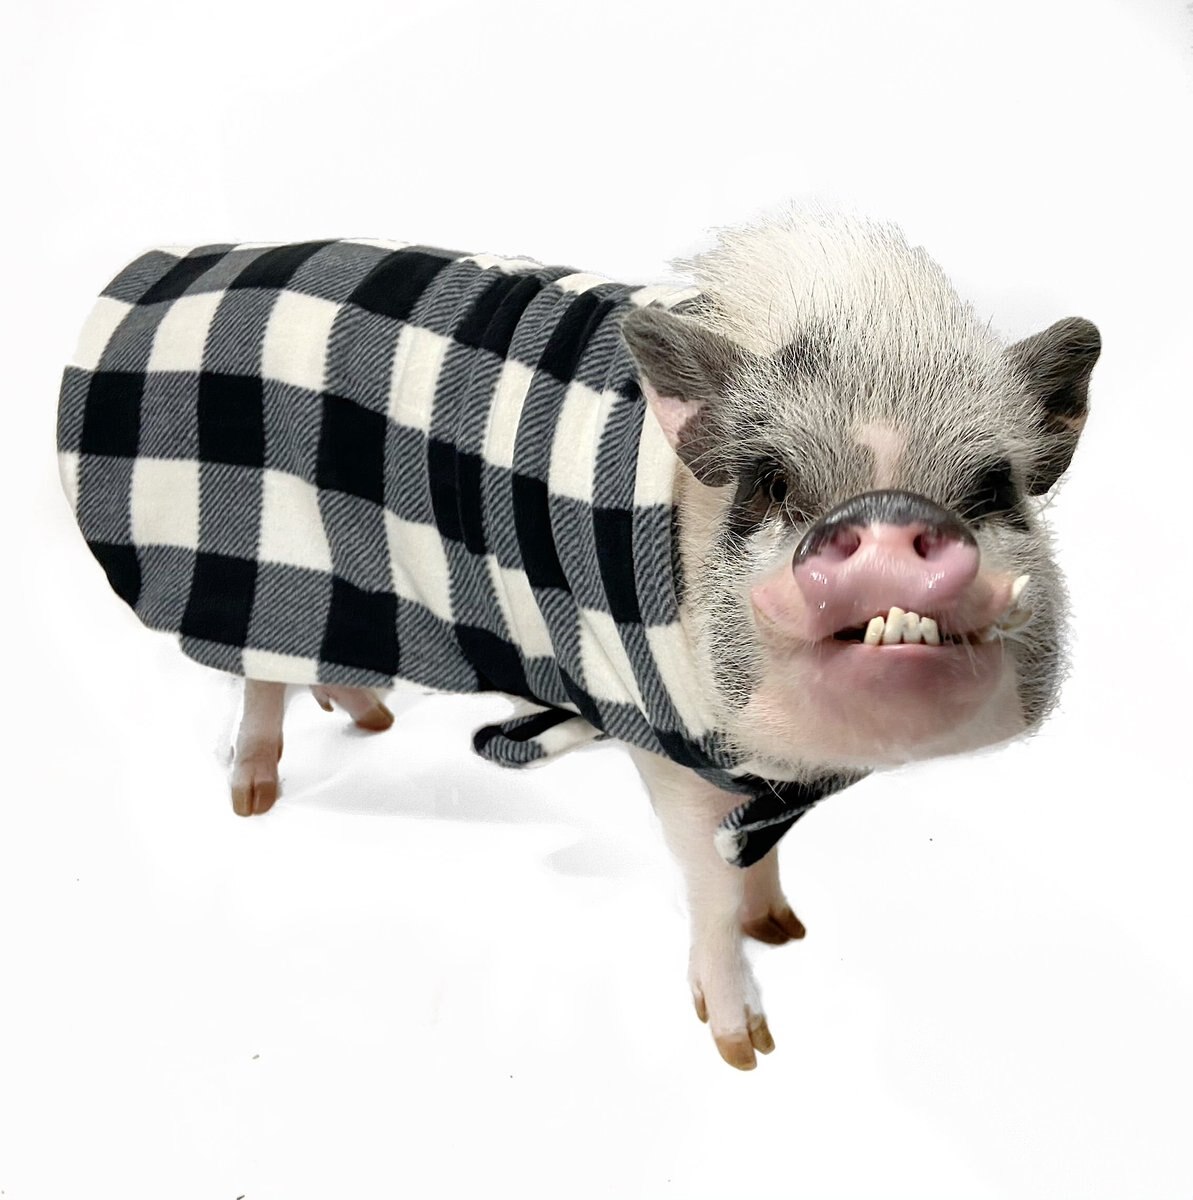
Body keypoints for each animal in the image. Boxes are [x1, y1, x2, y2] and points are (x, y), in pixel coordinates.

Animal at [57, 207, 1099, 1070]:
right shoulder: (668, 748)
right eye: (769, 483)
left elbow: (755, 860)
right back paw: (255, 802)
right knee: (256, 680)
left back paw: (371, 720)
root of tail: (155, 266)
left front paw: (786, 930)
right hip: (246, 568)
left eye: (993, 489)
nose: (890, 515)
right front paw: (744, 1049)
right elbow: (706, 885)